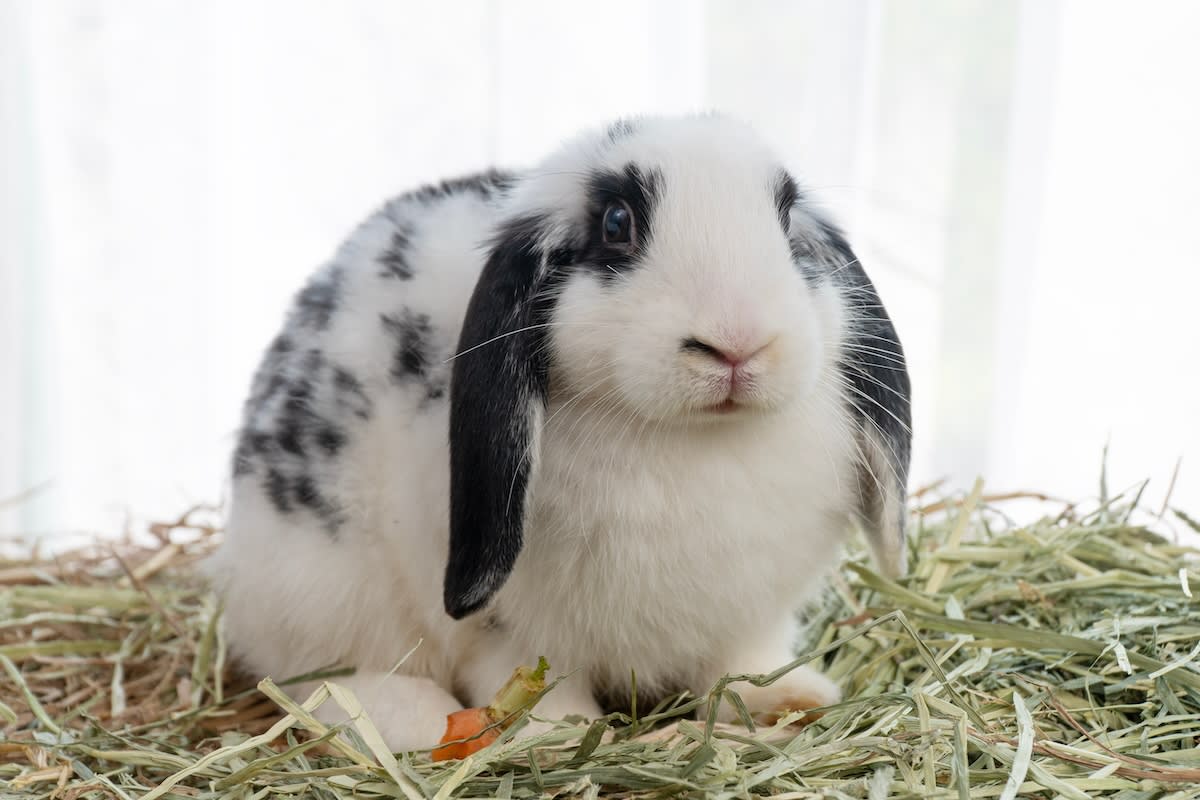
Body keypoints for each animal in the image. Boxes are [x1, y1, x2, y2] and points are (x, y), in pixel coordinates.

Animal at [207, 114, 912, 752]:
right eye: (616, 224)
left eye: (787, 220)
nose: (737, 343)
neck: (695, 440)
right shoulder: (512, 629)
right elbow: (534, 680)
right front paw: (558, 732)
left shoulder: (751, 619)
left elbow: (743, 666)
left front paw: (792, 701)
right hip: (320, 588)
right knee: (318, 678)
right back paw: (412, 718)